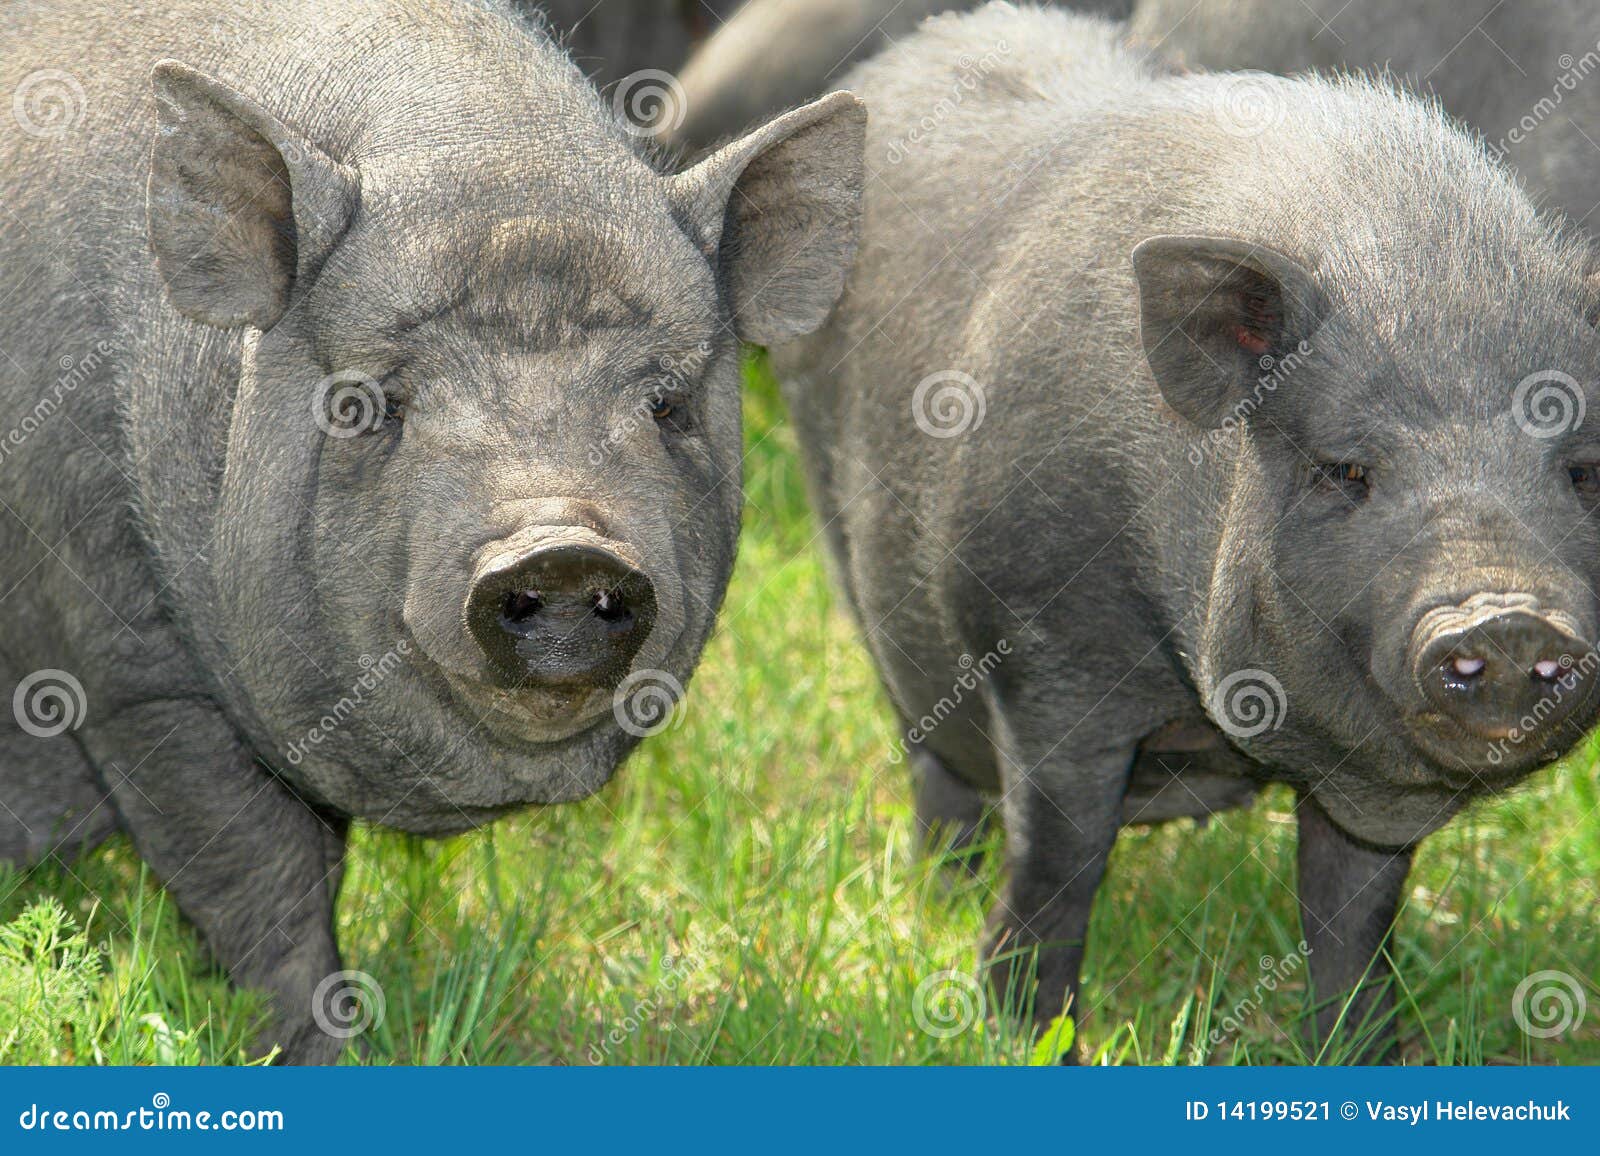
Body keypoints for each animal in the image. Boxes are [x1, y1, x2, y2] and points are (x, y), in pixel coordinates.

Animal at [0, 0, 863, 1063]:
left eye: (668, 405)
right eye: (369, 404)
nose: (560, 548)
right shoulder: (131, 671)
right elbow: (258, 884)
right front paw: (322, 1050)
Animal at [762, 3, 1600, 1060]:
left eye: (1581, 470)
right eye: (1347, 470)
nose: (1505, 614)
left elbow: (1352, 913)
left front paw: (1365, 1052)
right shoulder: (1043, 640)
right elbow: (1061, 859)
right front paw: (1027, 1034)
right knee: (937, 767)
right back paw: (936, 895)